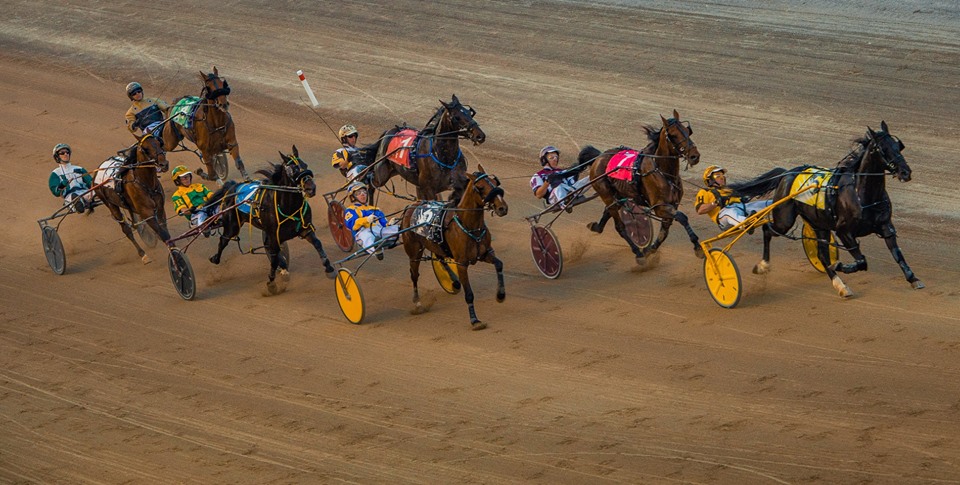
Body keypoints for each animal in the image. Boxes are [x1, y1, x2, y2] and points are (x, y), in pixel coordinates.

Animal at [93, 134, 171, 264]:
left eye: (159, 143)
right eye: (145, 148)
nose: (164, 164)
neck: (146, 183)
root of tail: (98, 170)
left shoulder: (160, 208)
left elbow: (164, 230)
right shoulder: (147, 213)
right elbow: (164, 234)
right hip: (110, 204)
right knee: (126, 230)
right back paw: (143, 254)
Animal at [208, 146, 335, 294]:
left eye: (305, 165)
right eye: (293, 170)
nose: (311, 188)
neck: (287, 206)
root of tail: (233, 187)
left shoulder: (305, 229)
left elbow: (317, 243)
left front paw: (329, 269)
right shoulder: (274, 235)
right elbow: (274, 259)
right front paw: (271, 284)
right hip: (232, 226)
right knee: (223, 240)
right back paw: (215, 258)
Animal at [401, 165, 508, 330]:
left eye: (495, 183)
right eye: (481, 187)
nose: (502, 208)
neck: (468, 225)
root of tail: (411, 206)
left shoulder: (485, 253)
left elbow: (499, 264)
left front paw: (500, 294)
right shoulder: (462, 263)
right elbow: (469, 294)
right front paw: (475, 320)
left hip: (435, 245)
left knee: (440, 258)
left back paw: (454, 282)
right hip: (414, 252)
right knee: (414, 274)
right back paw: (418, 303)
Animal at [580, 110, 703, 269]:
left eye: (688, 131)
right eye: (673, 135)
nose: (694, 156)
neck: (663, 172)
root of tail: (599, 158)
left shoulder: (672, 205)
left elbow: (664, 231)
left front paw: (650, 250)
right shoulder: (660, 207)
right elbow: (682, 217)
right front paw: (697, 247)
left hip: (618, 196)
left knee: (608, 211)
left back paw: (596, 227)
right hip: (606, 194)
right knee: (620, 226)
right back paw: (638, 253)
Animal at [751, 121, 923, 297]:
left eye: (898, 146)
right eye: (883, 149)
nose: (905, 172)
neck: (861, 195)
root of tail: (786, 174)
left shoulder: (885, 226)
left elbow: (897, 254)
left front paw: (913, 278)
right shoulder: (844, 231)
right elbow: (861, 261)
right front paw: (840, 265)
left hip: (819, 224)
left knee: (821, 255)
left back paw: (840, 285)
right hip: (784, 220)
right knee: (767, 229)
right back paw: (763, 265)